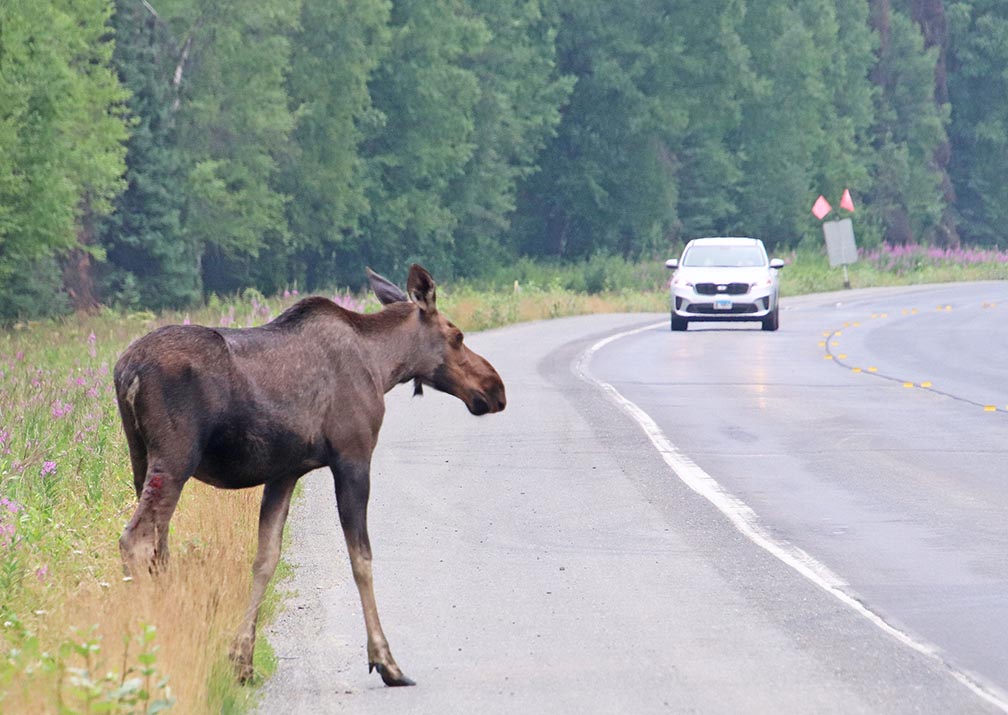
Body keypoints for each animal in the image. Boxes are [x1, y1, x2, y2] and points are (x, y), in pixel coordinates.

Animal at [113, 264, 506, 687]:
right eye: (457, 336)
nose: (496, 388)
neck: (383, 366)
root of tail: (125, 371)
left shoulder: (285, 473)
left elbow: (265, 559)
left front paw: (241, 660)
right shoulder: (352, 457)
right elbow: (361, 558)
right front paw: (386, 661)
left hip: (141, 460)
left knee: (158, 546)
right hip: (174, 459)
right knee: (136, 540)